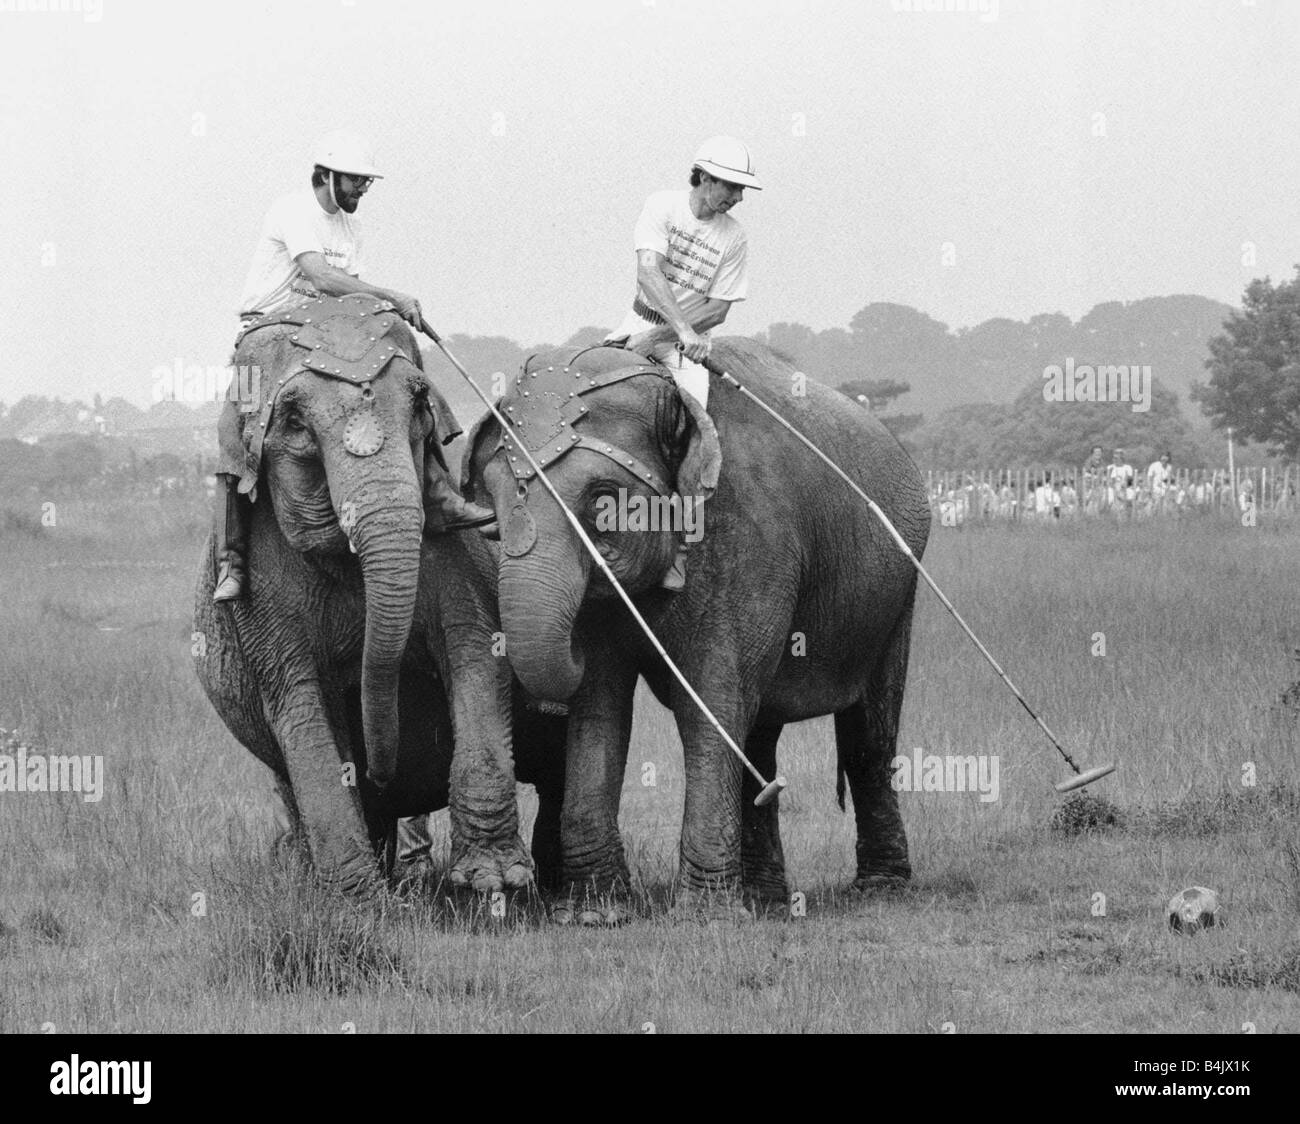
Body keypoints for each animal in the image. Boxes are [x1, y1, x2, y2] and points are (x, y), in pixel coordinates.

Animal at [193, 297, 566, 895]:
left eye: (419, 403)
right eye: (294, 422)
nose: (380, 773)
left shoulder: (450, 549)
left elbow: (475, 652)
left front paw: (494, 883)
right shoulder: (260, 590)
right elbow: (300, 700)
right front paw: (358, 901)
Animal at [464, 338, 930, 919]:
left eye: (601, 500)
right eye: (494, 499)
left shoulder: (747, 543)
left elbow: (707, 702)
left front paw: (705, 917)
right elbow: (602, 704)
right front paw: (595, 914)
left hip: (900, 586)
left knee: (870, 732)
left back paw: (880, 889)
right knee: (760, 734)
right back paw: (765, 897)